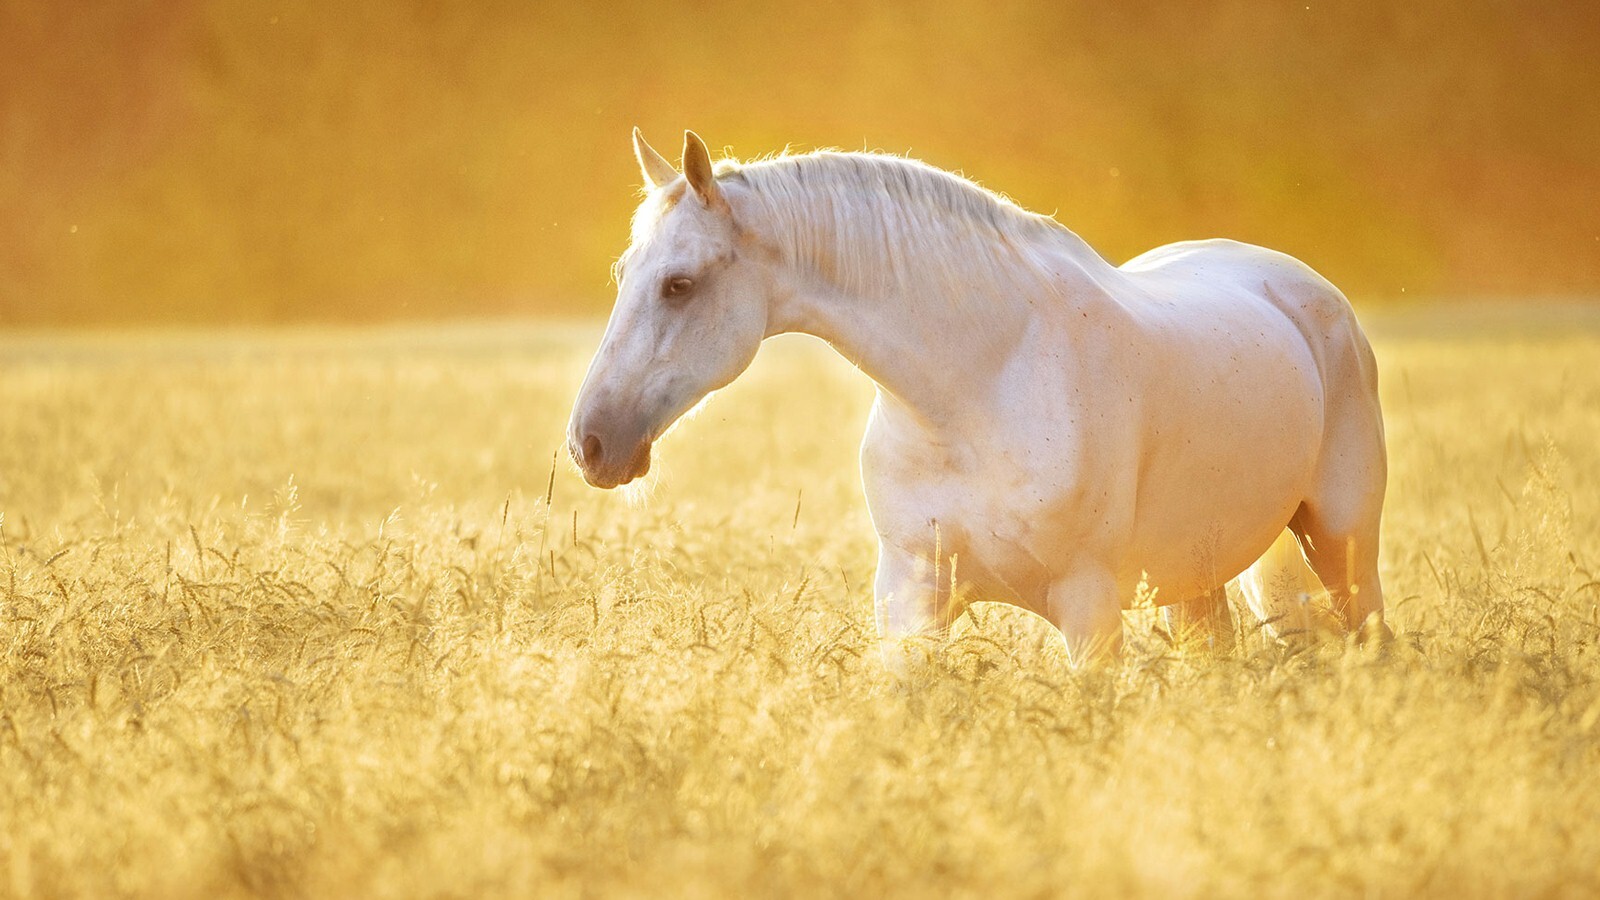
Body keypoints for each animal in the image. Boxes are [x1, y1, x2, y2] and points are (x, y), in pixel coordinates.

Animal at [567, 128, 1388, 664]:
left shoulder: (1089, 610)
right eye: (623, 274)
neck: (977, 386)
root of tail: (1308, 290)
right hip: (1197, 578)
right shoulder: (911, 600)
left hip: (1342, 549)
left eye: (679, 284)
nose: (590, 443)